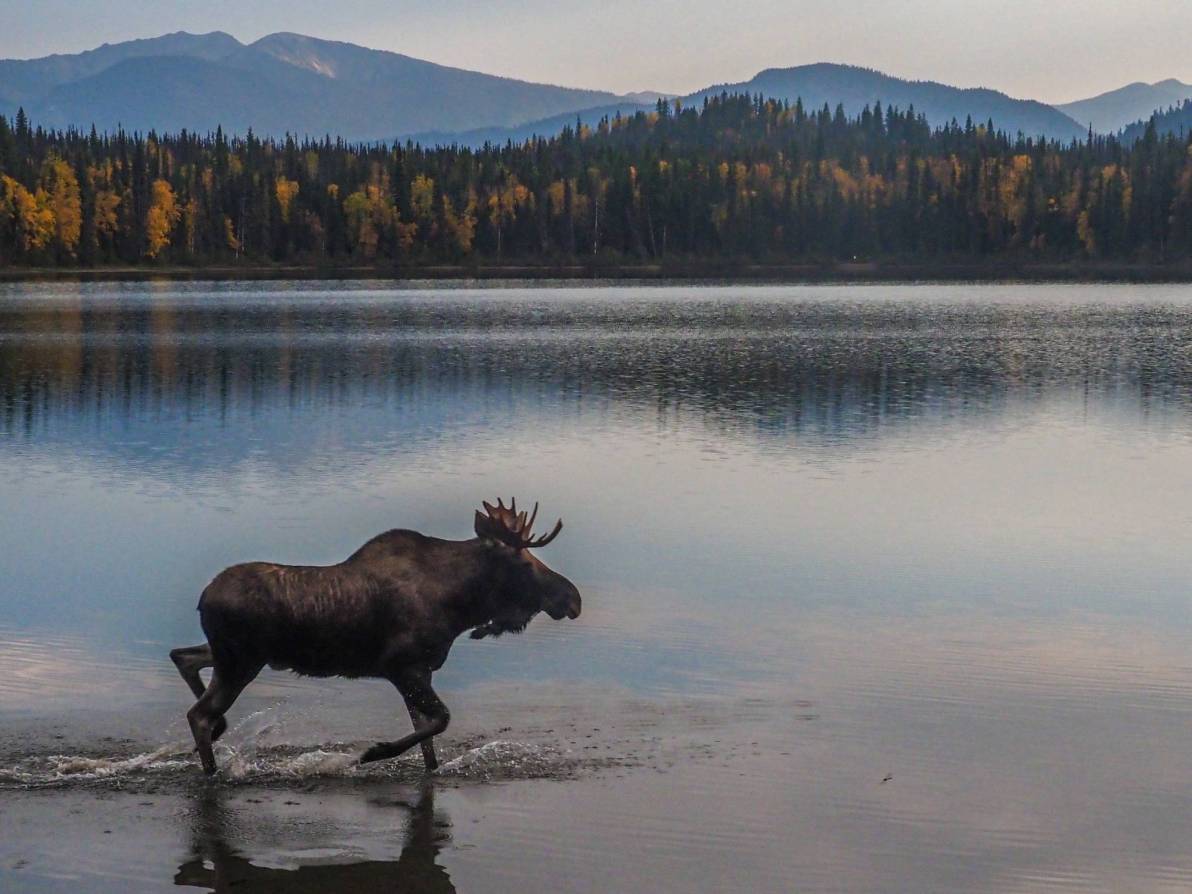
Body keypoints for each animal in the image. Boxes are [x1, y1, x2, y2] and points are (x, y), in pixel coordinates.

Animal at [169, 499, 581, 775]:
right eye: (523, 562)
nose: (572, 598)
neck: (460, 606)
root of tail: (202, 598)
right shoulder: (401, 666)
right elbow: (441, 720)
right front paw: (373, 753)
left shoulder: (421, 671)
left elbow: (428, 740)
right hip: (240, 661)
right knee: (198, 713)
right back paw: (212, 768)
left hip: (233, 656)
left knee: (183, 657)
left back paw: (220, 732)